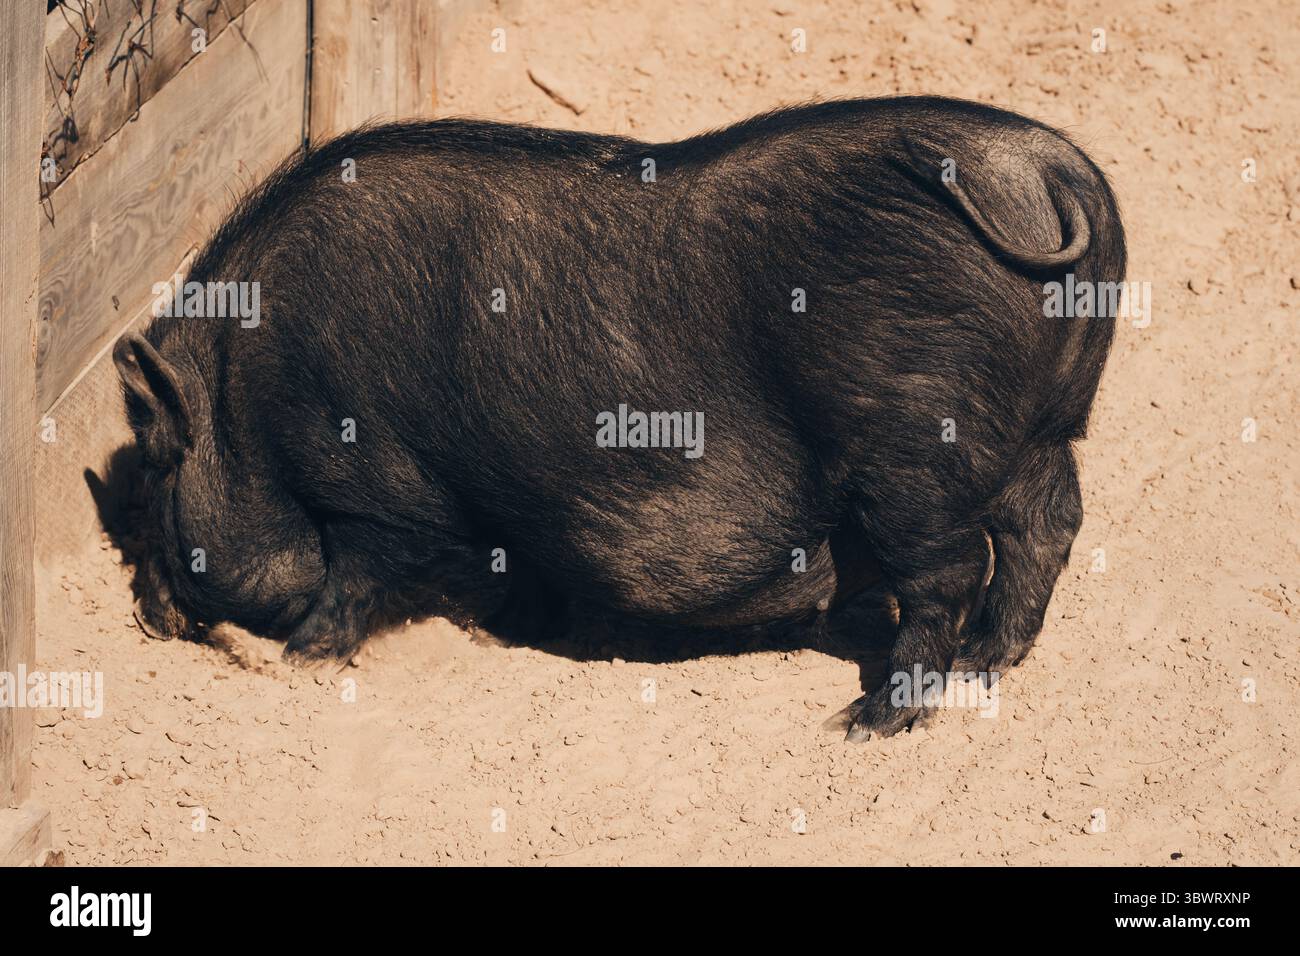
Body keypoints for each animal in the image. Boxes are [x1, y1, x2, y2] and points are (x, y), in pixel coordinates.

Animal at [115, 96, 1125, 739]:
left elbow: (355, 572)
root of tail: (1043, 169)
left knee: (950, 569)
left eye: (158, 472)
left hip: (913, 448)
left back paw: (866, 722)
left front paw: (303, 661)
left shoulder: (371, 481)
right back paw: (989, 663)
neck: (245, 392)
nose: (149, 621)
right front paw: (520, 629)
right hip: (1042, 430)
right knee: (1048, 524)